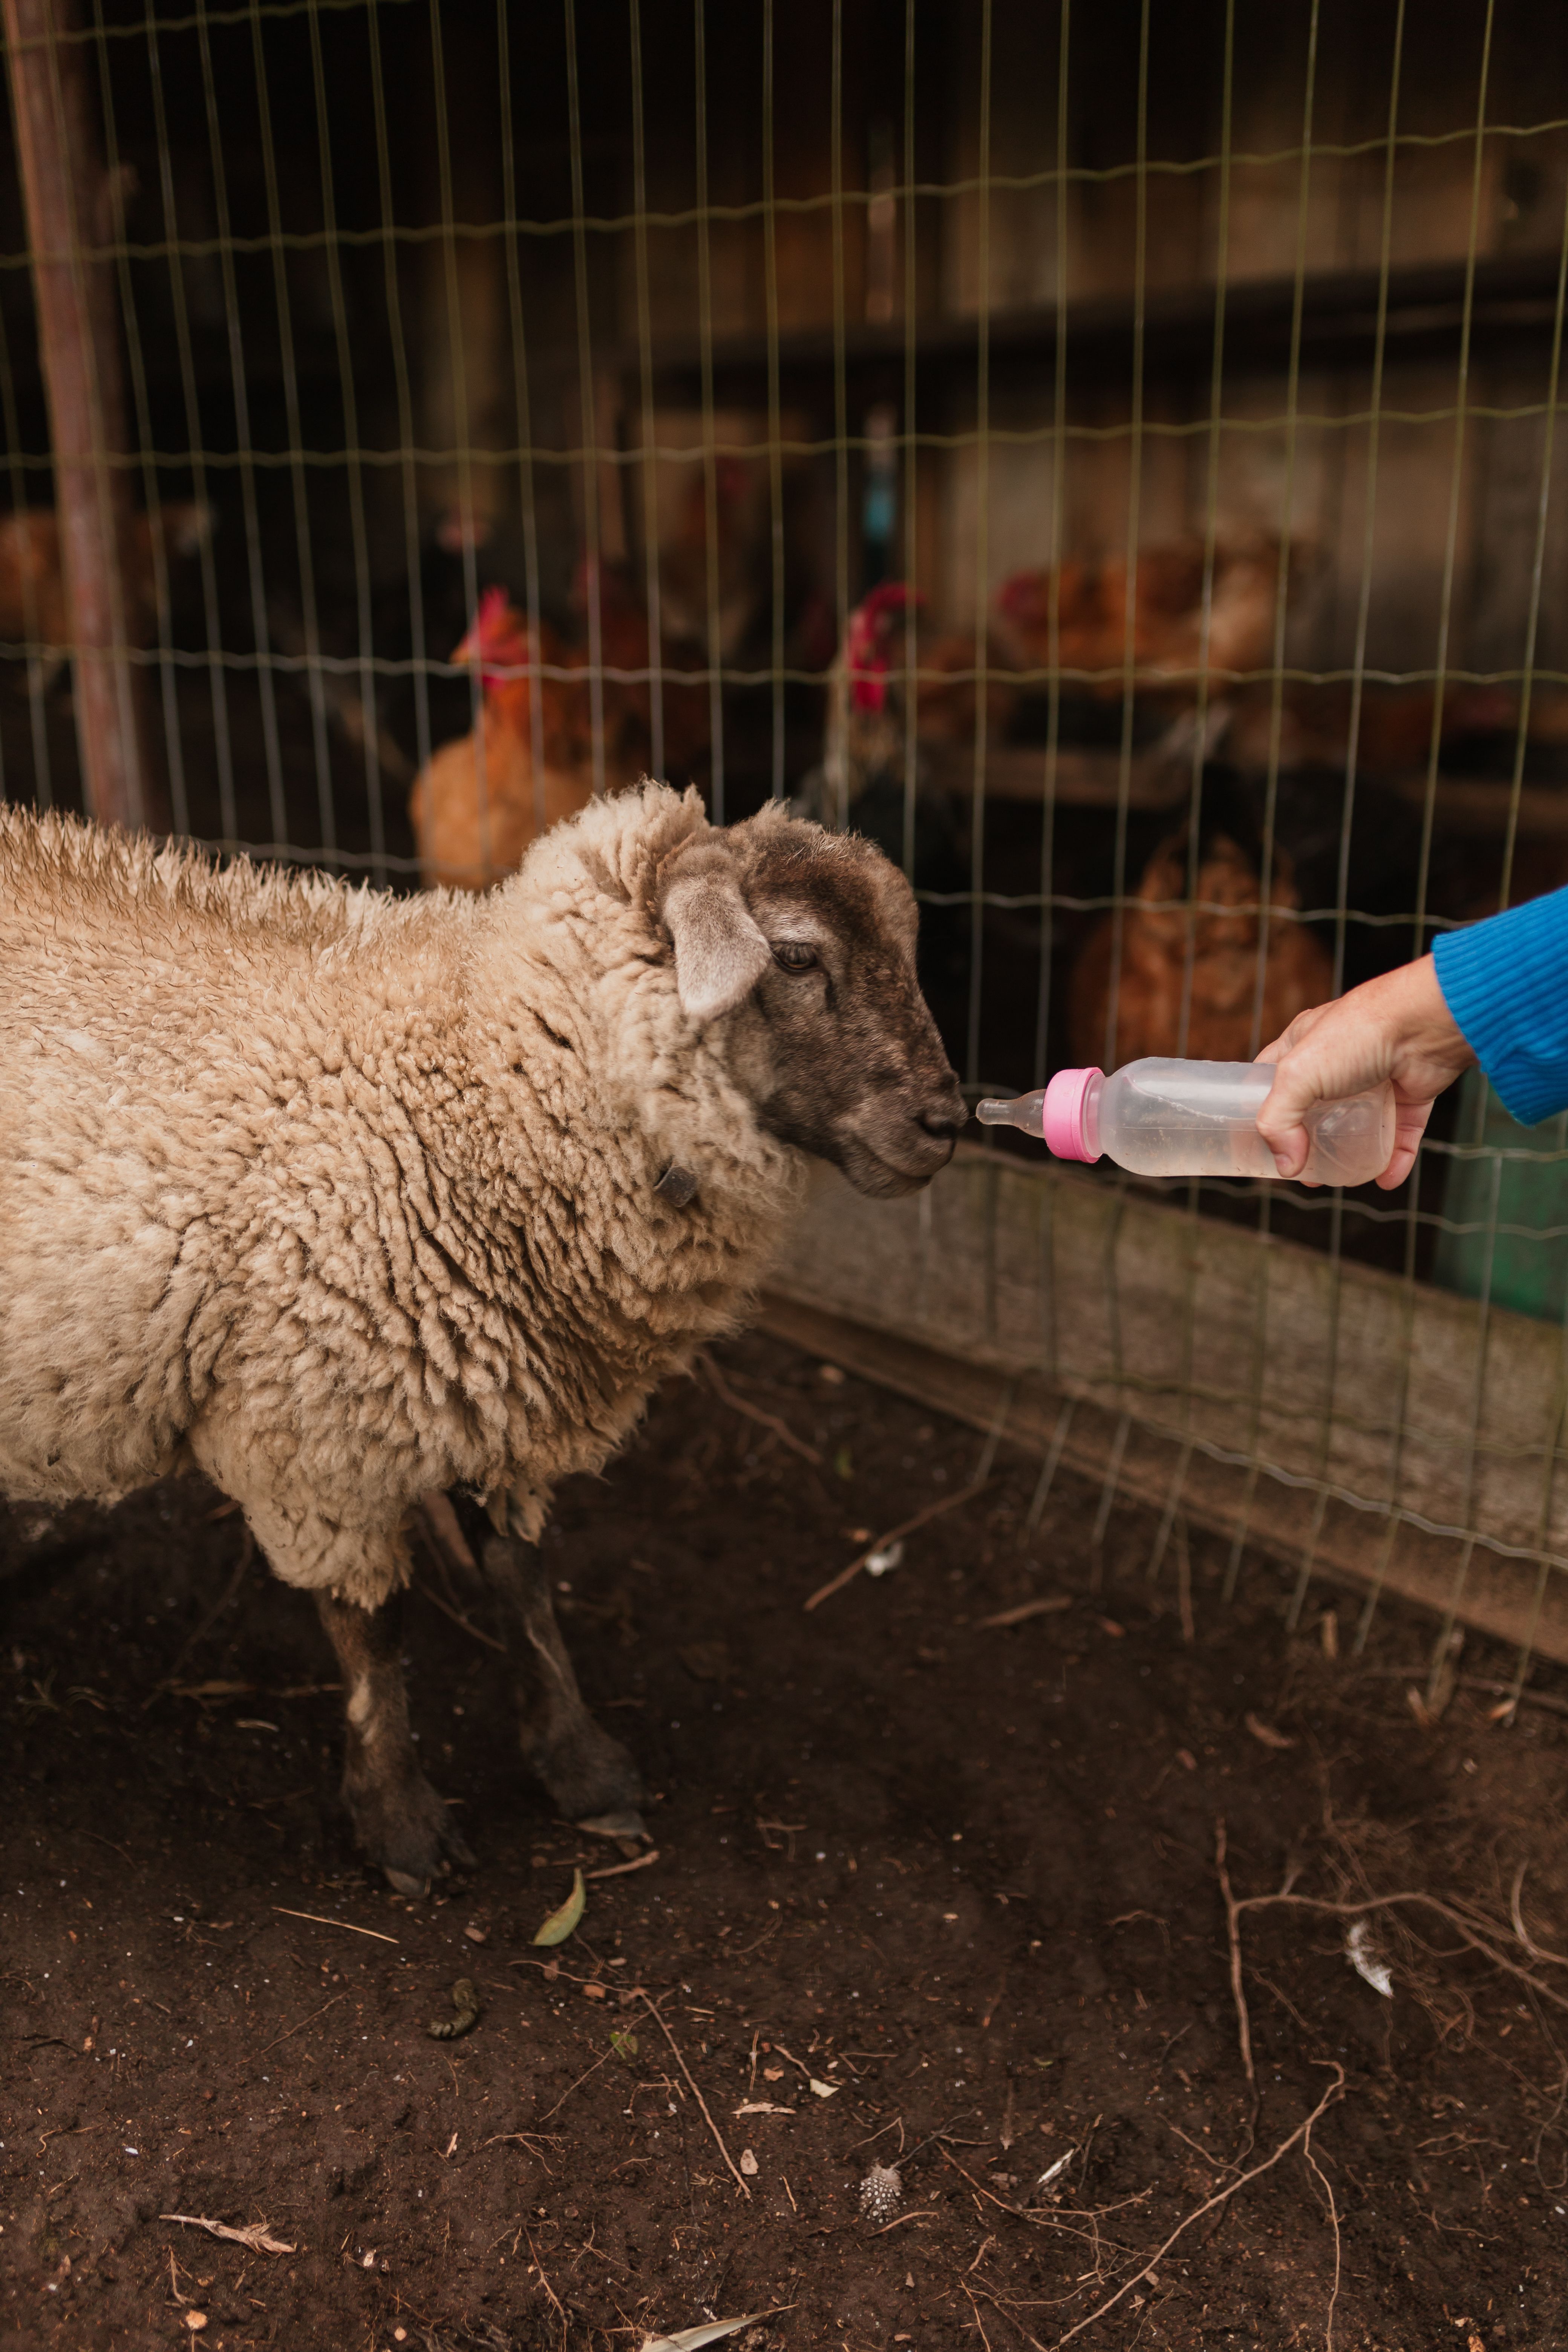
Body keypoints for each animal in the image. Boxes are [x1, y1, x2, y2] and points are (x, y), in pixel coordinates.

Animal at [0, 781, 965, 1891]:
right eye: (799, 957)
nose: (947, 1124)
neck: (475, 1077)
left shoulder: (499, 1383)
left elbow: (523, 1579)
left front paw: (582, 1766)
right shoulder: (312, 1434)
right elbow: (373, 1633)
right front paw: (401, 1825)